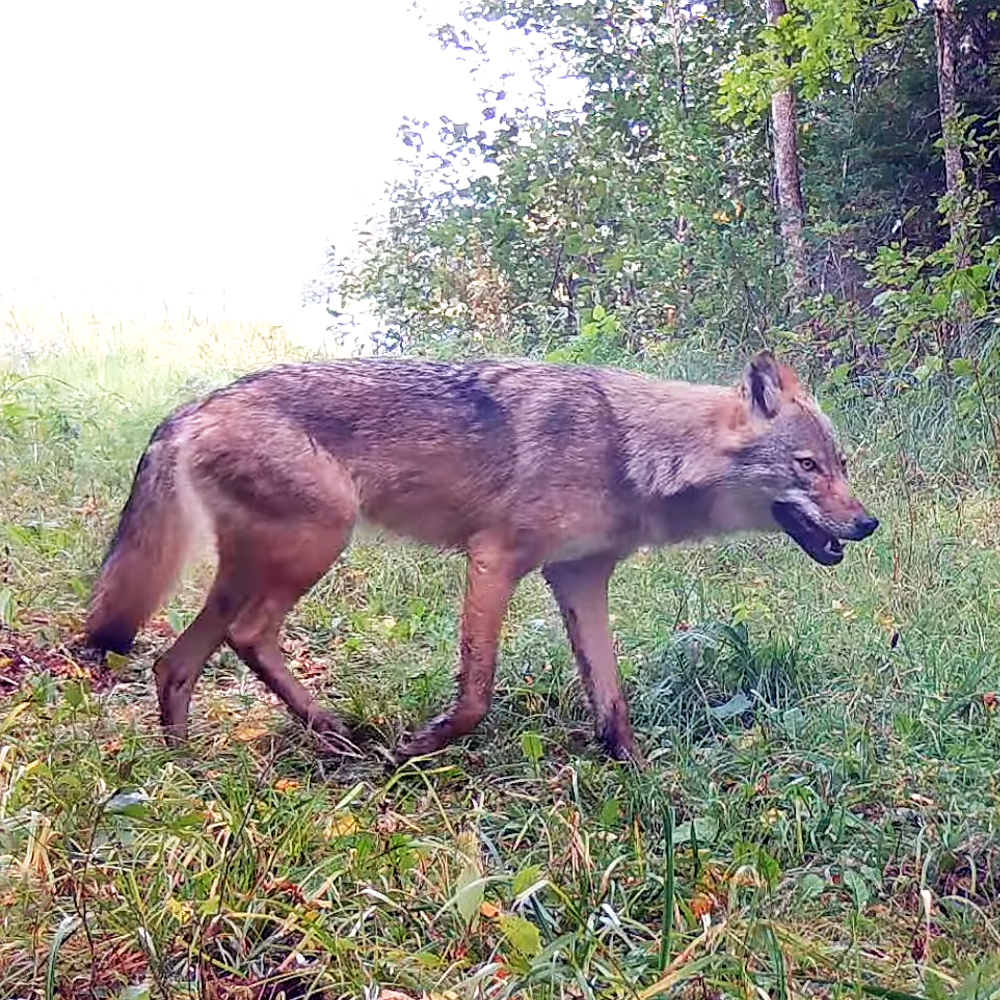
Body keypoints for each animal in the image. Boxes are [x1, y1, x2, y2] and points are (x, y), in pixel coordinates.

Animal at [84, 351, 878, 763]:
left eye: (841, 465)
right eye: (806, 466)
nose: (868, 523)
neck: (630, 449)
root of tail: (190, 409)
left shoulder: (580, 577)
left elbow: (612, 700)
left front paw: (640, 780)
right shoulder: (494, 560)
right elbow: (475, 695)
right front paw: (418, 747)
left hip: (250, 572)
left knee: (173, 663)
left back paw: (187, 768)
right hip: (319, 542)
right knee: (247, 637)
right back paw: (335, 738)